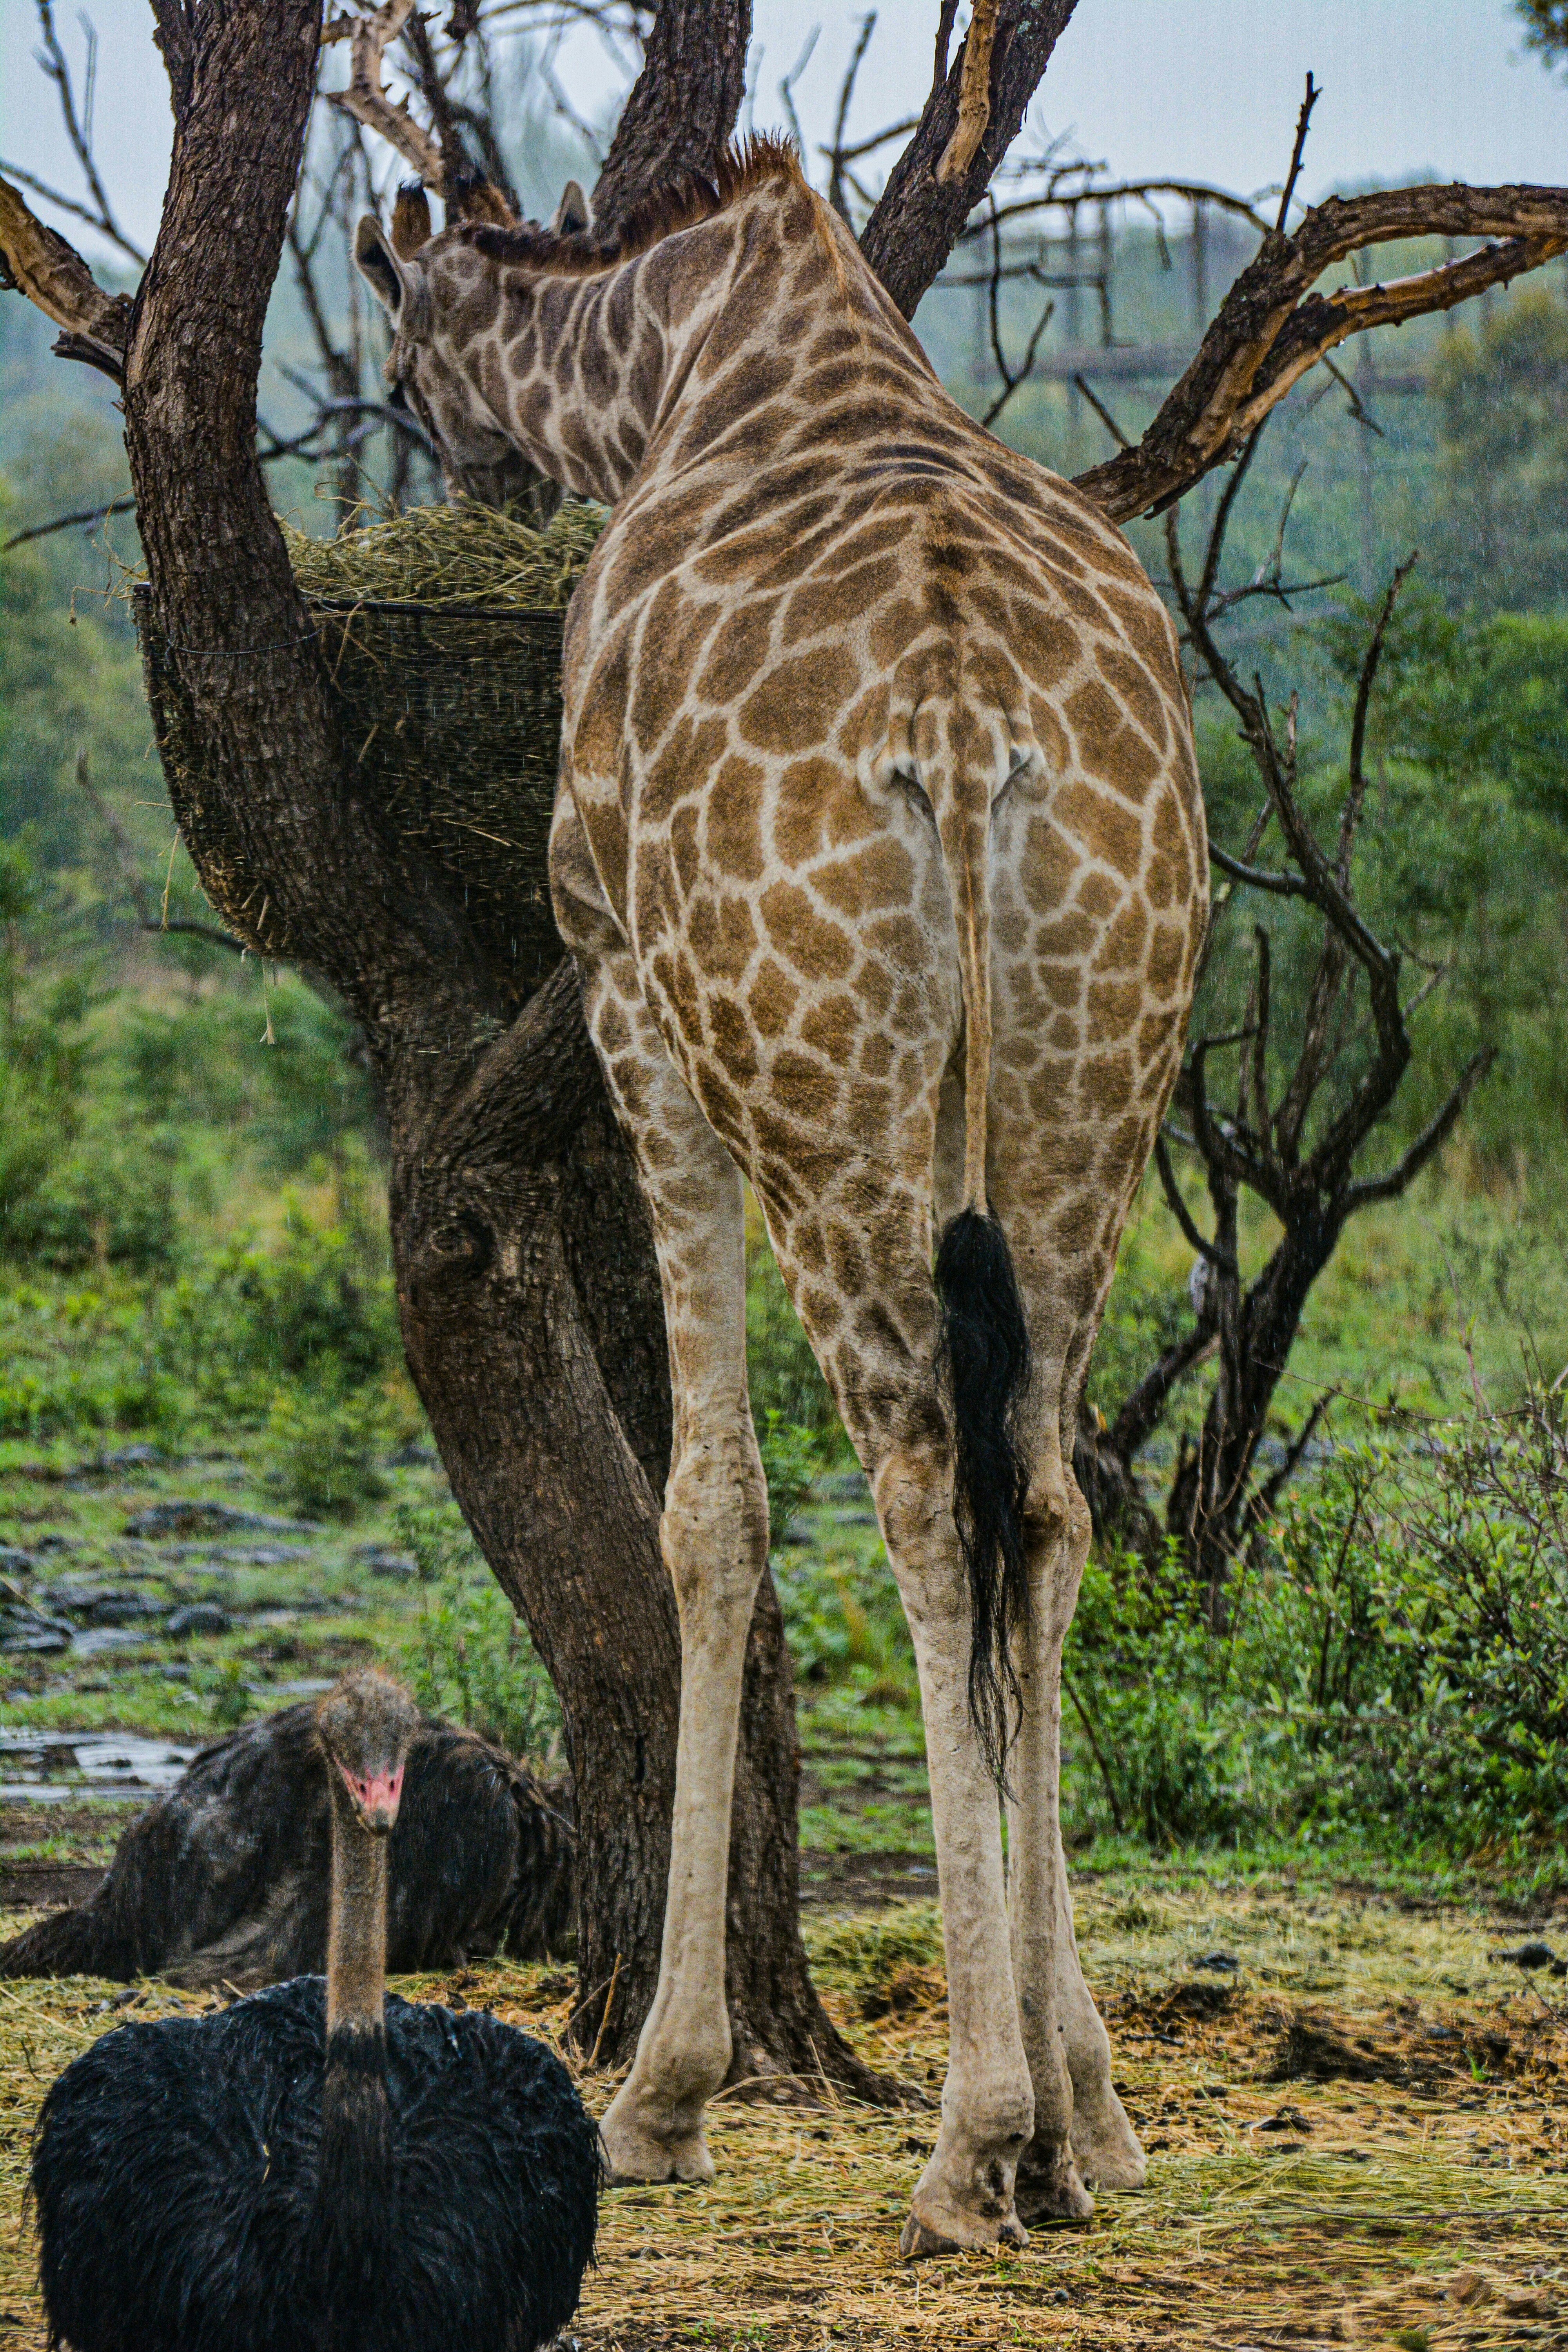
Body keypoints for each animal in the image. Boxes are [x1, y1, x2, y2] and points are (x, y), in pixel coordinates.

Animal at [356, 138, 1206, 2254]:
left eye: (406, 349)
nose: (452, 457)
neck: (684, 350)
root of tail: (967, 724)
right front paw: (1087, 2106)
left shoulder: (626, 989)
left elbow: (710, 1513)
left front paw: (662, 2092)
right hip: (1100, 1089)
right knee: (1045, 1500)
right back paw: (1075, 2119)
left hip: (819, 1092)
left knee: (913, 1486)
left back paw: (968, 2143)